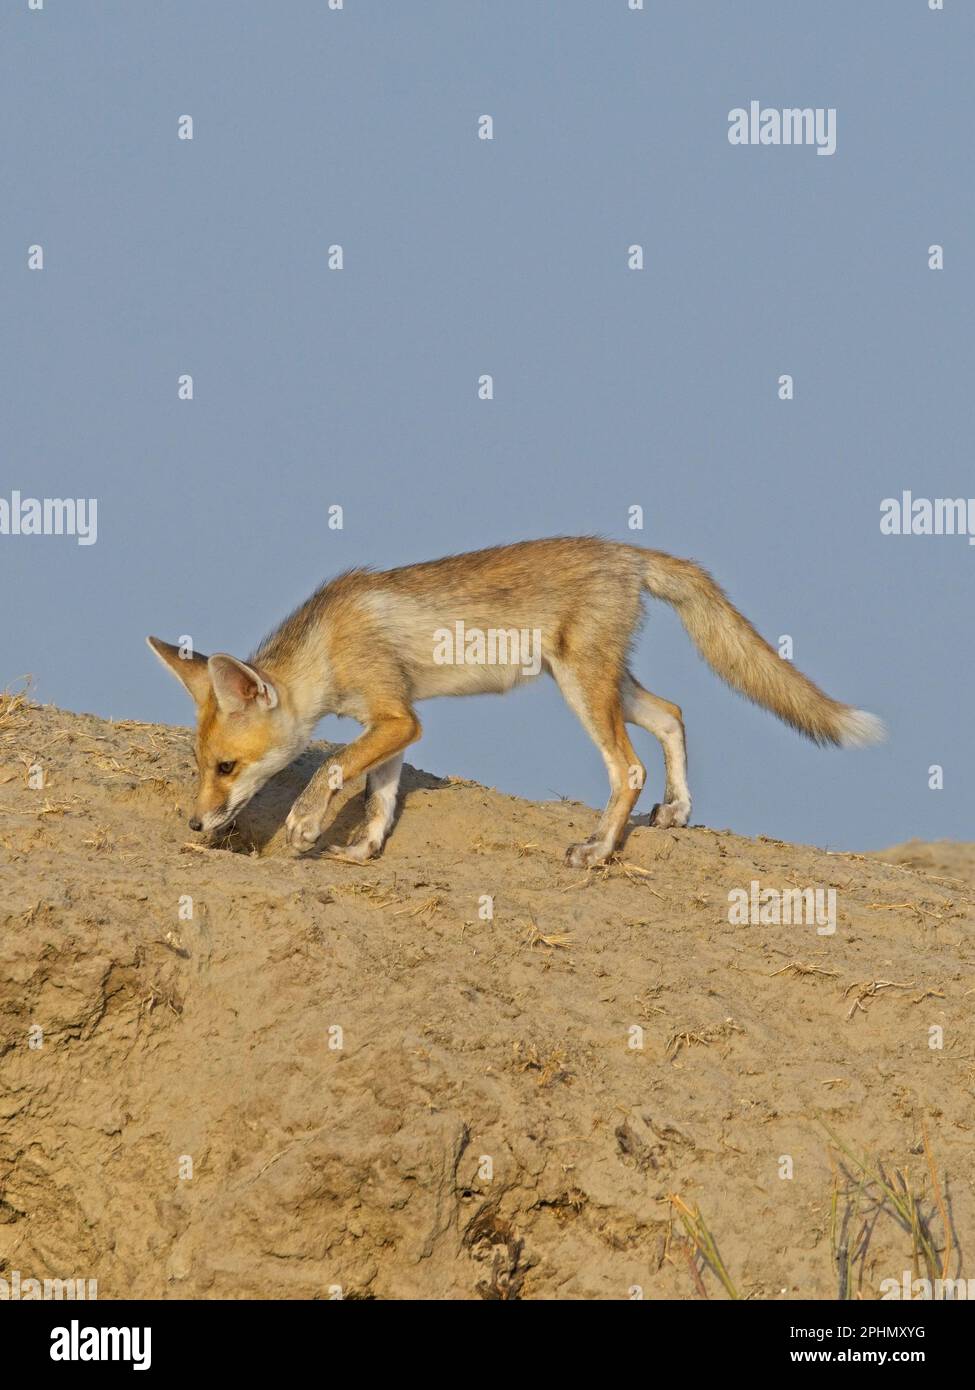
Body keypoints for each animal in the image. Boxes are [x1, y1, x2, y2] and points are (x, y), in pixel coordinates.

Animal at [147, 536, 884, 868]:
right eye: (200, 766)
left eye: (226, 768)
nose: (194, 822)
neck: (327, 644)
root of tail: (623, 550)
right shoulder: (393, 723)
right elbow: (380, 794)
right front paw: (364, 849)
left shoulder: (396, 716)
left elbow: (332, 769)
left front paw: (304, 825)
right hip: (601, 682)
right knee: (673, 714)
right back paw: (675, 811)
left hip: (582, 688)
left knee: (628, 767)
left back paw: (599, 848)